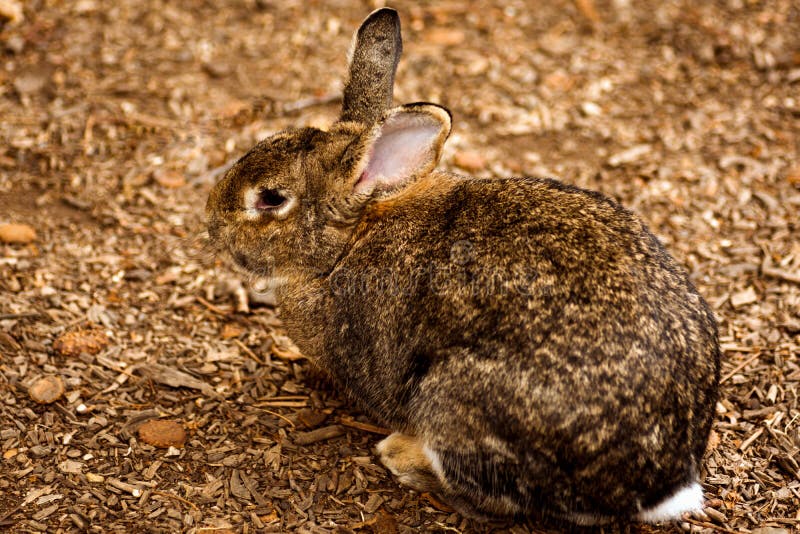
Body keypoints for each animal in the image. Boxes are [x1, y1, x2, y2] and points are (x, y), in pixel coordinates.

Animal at [205, 8, 720, 526]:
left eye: (271, 199)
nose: (211, 219)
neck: (346, 244)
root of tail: (662, 486)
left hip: (452, 401)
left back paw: (401, 456)